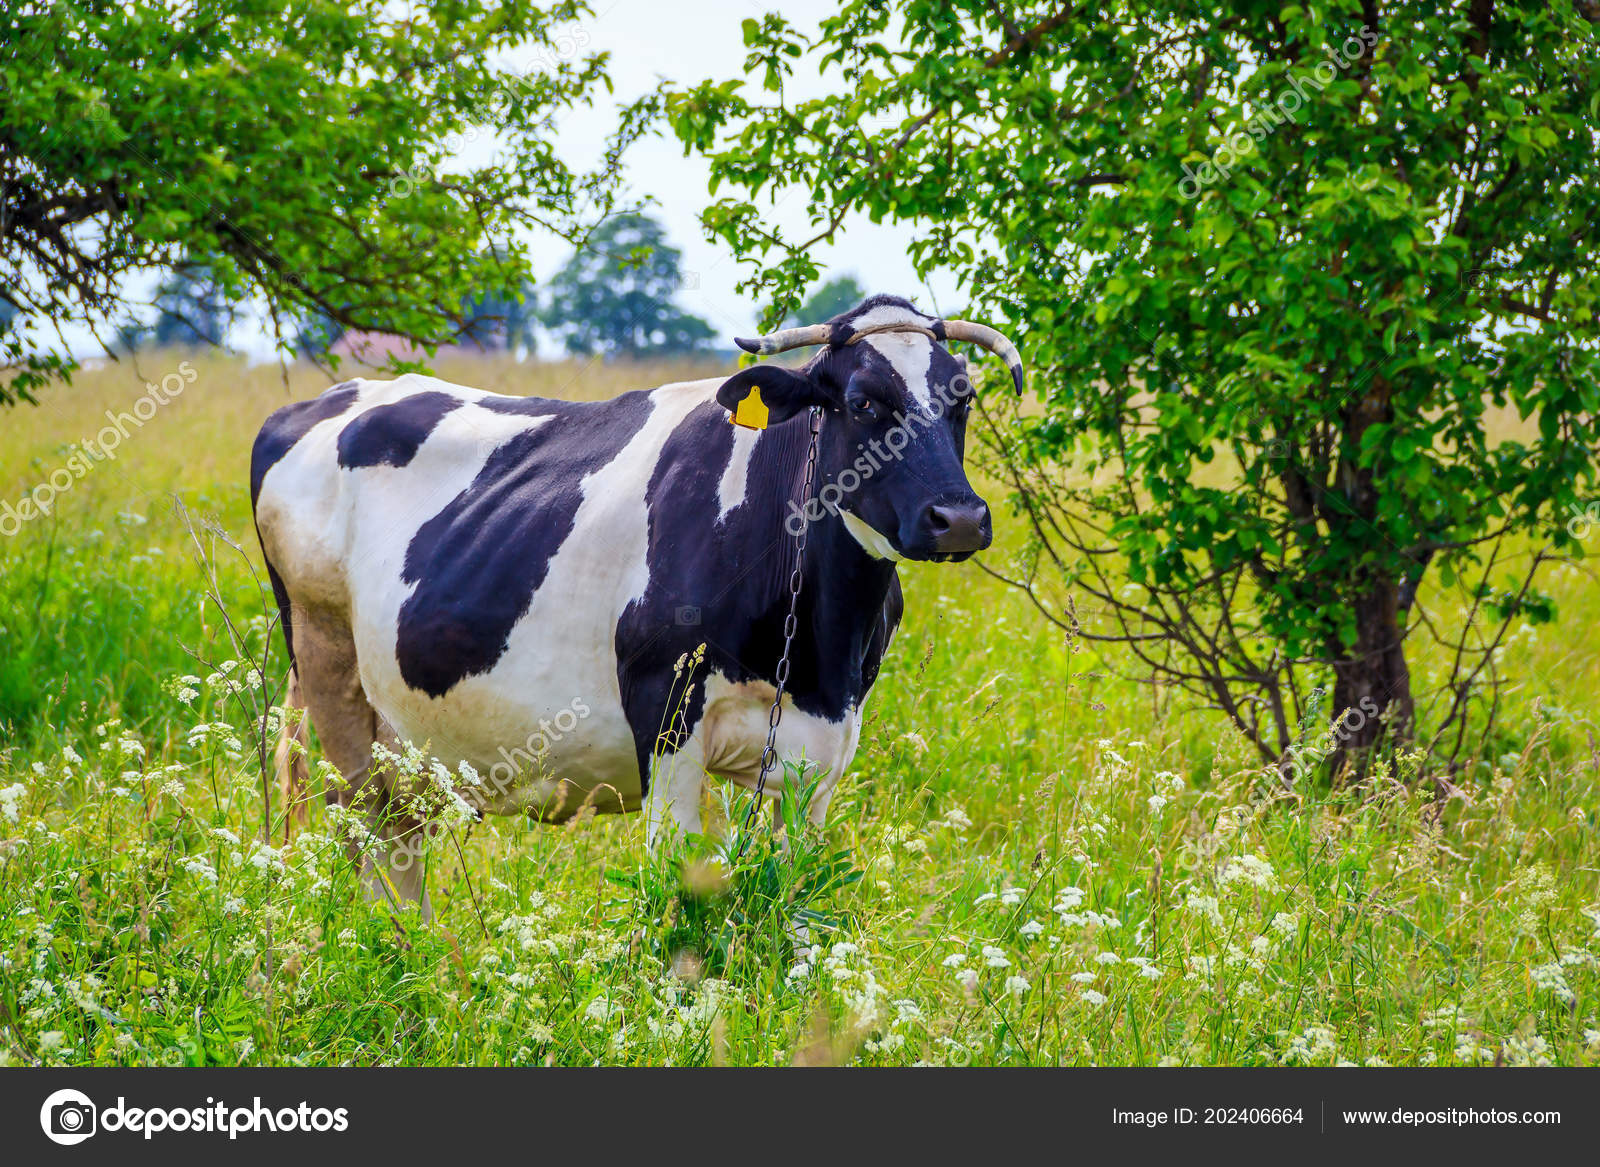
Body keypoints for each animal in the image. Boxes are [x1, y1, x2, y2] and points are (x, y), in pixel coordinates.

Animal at [252, 295, 1023, 915]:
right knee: (366, 825)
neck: (814, 644)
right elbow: (674, 882)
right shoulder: (666, 713)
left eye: (962, 400)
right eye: (864, 402)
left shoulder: (826, 746)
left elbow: (796, 895)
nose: (959, 517)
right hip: (327, 664)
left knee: (401, 835)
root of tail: (327, 399)